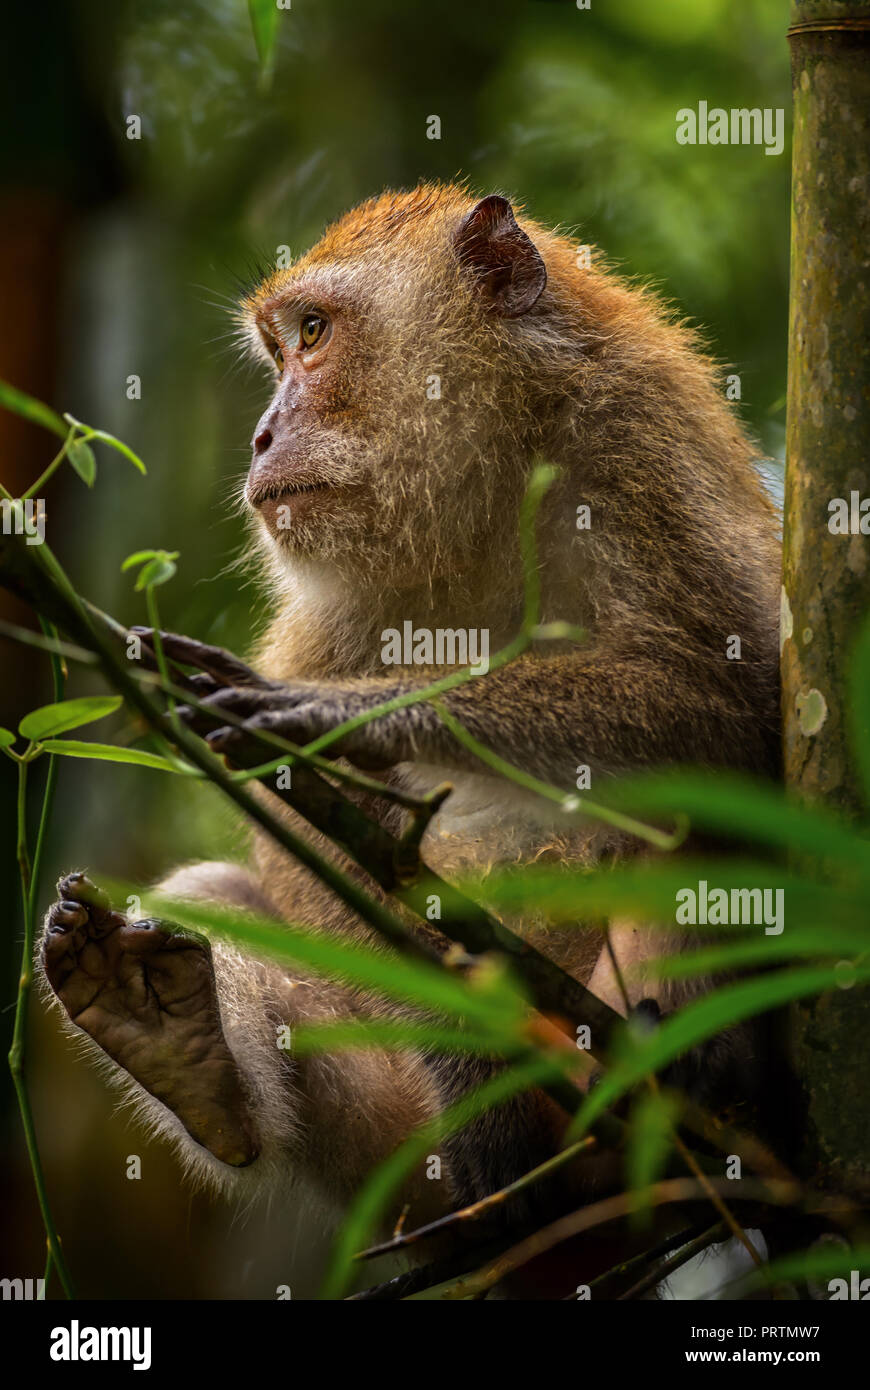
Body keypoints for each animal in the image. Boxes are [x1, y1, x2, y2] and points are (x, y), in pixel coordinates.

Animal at [40, 184, 781, 1257]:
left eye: (314, 334)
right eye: (281, 347)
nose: (262, 437)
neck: (487, 482)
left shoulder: (639, 440)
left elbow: (730, 703)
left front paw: (347, 715)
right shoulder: (328, 594)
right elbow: (309, 841)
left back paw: (695, 1082)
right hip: (401, 1158)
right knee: (219, 898)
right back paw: (180, 1048)